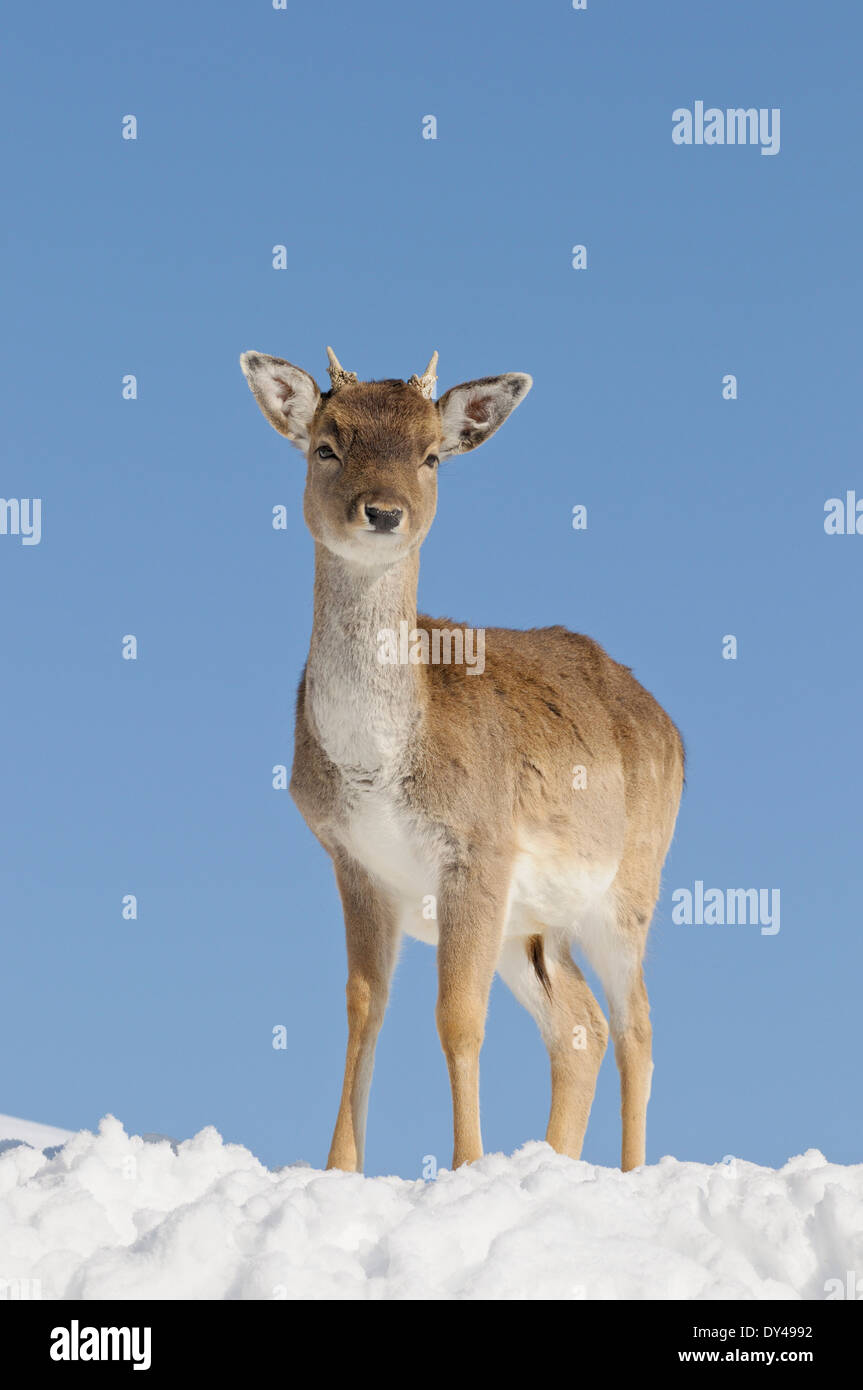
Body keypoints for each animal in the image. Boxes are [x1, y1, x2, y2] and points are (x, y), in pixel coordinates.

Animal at [240, 346, 684, 1174]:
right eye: (327, 446)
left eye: (430, 455)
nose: (383, 512)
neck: (377, 769)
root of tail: (668, 726)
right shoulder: (356, 863)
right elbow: (362, 1005)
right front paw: (340, 1168)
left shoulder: (479, 848)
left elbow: (457, 1016)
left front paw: (466, 1165)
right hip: (532, 926)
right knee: (581, 1025)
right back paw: (551, 1161)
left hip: (629, 886)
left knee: (636, 1028)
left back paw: (630, 1172)